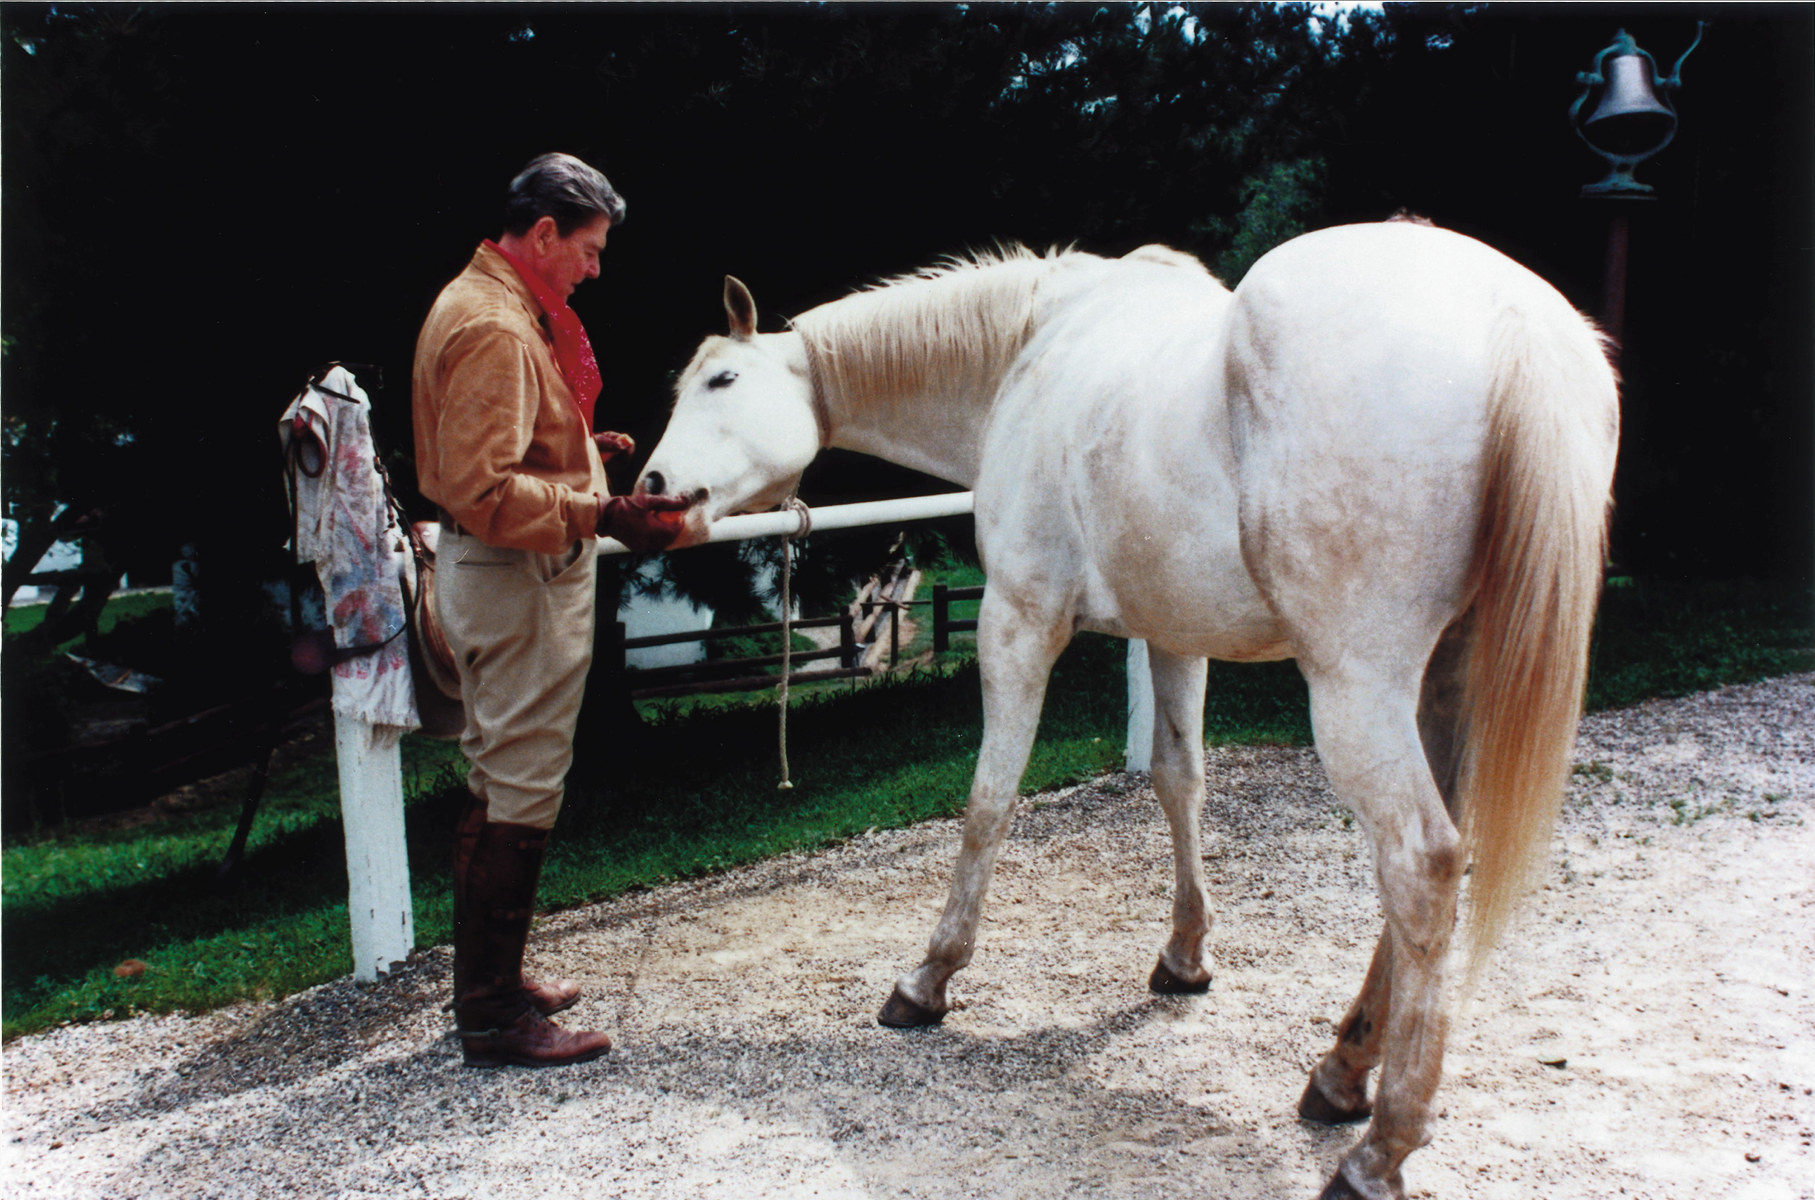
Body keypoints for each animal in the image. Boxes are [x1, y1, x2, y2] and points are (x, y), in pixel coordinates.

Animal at [635, 221, 1619, 1200]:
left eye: (722, 381)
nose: (649, 494)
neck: (1029, 350)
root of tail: (1512, 321)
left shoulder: (1018, 619)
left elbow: (988, 801)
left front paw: (929, 978)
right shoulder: (1172, 633)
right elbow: (1179, 779)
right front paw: (1184, 959)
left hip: (1358, 689)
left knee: (1420, 864)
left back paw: (1379, 1148)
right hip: (1446, 678)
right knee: (1431, 867)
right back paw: (1343, 1071)